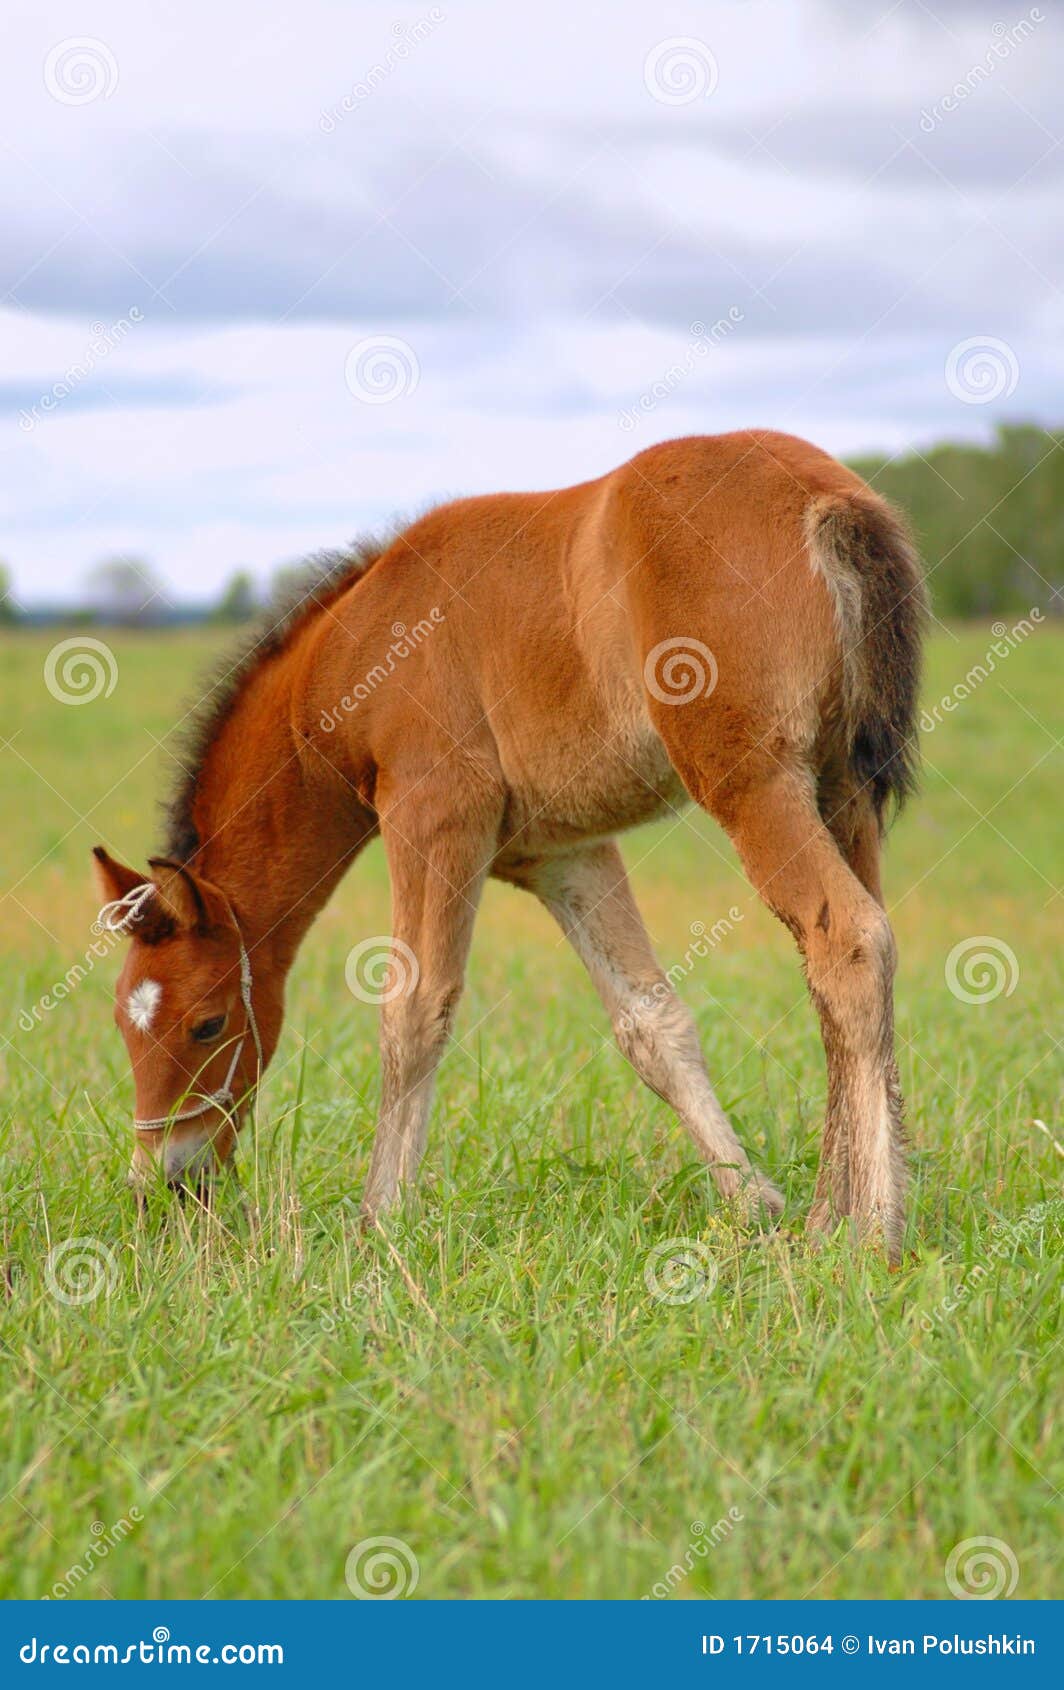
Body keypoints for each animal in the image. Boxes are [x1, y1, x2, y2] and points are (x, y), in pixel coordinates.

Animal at [93, 429, 926, 1261]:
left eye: (207, 1023)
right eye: (122, 1025)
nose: (163, 1181)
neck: (357, 650)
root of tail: (827, 495)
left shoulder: (434, 816)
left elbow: (412, 1011)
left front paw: (380, 1218)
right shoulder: (562, 855)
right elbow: (650, 1023)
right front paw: (753, 1202)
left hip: (754, 782)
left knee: (850, 943)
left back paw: (871, 1234)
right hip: (839, 791)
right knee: (844, 961)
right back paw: (830, 1214)